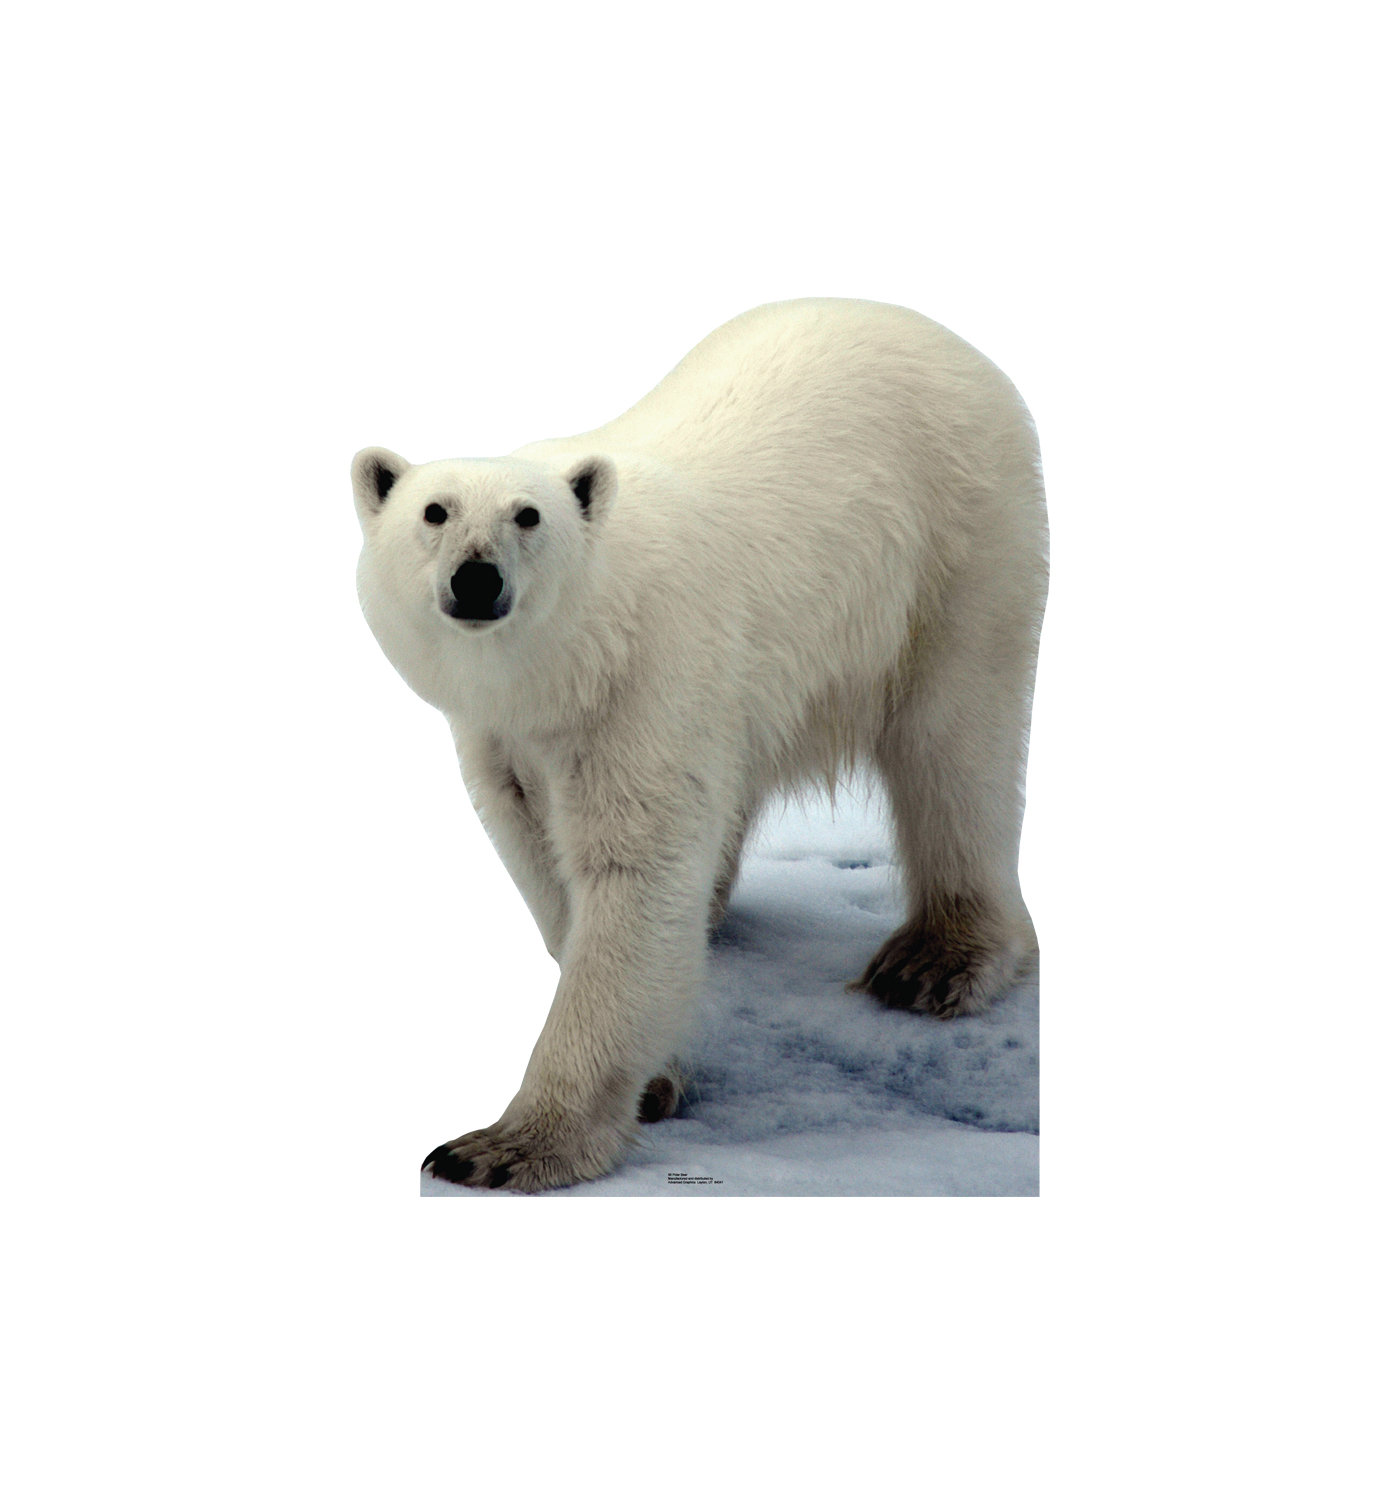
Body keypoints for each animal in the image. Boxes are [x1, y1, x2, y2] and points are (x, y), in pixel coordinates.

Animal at [352, 298, 1048, 1193]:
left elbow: (634, 874)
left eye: (528, 515)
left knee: (954, 747)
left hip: (961, 544)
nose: (477, 578)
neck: (572, 666)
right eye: (433, 511)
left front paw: (502, 1146)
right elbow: (546, 859)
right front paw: (653, 1071)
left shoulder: (648, 681)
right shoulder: (503, 735)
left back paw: (933, 961)